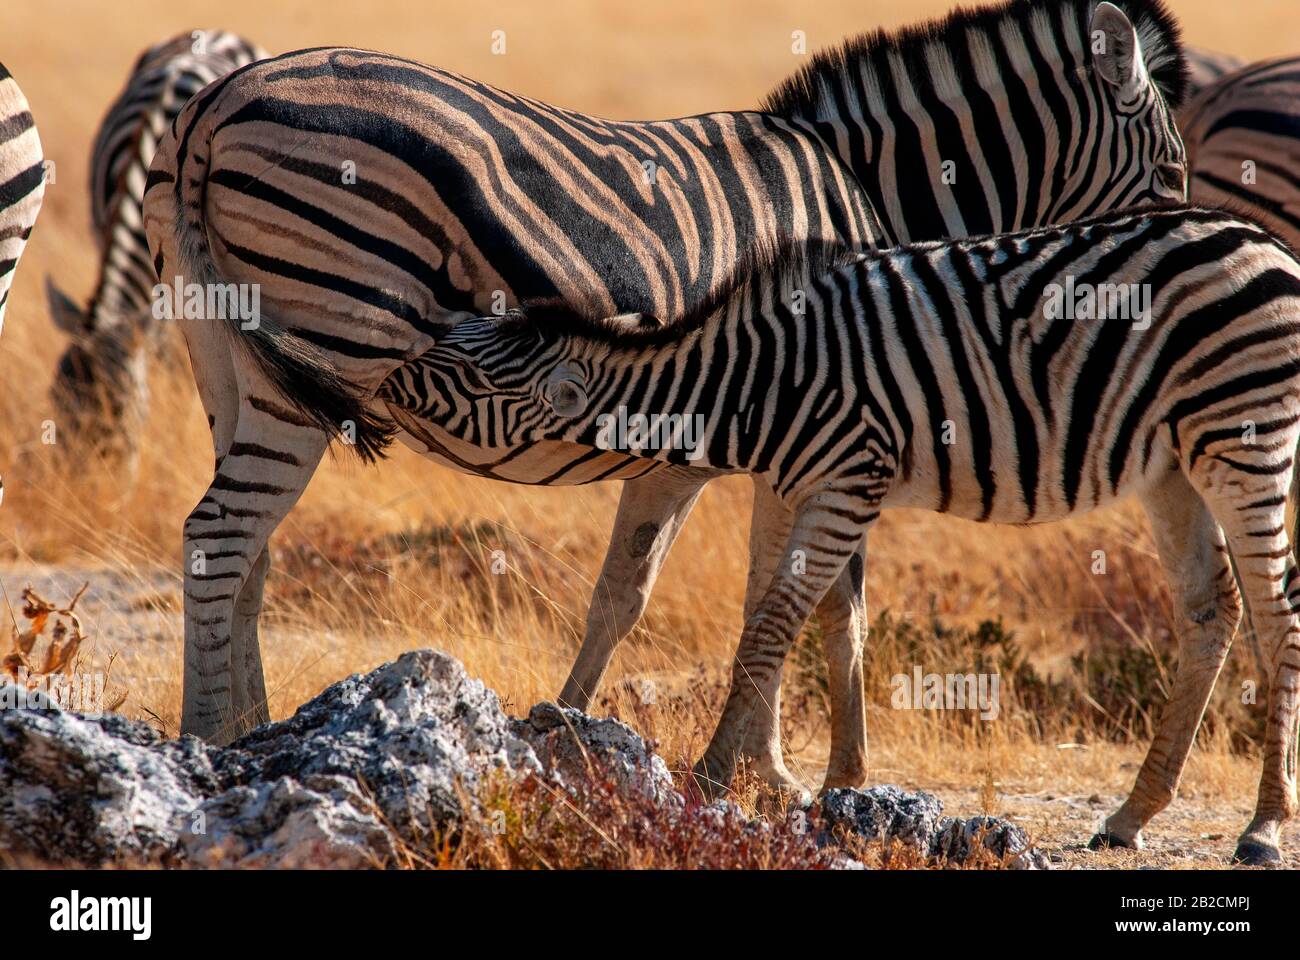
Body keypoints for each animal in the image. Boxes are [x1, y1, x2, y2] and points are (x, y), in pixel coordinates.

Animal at [141, 0, 1189, 784]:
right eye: (1176, 169)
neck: (867, 199)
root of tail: (218, 103)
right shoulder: (825, 420)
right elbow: (819, 603)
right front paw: (820, 778)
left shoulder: (760, 441)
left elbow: (678, 595)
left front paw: (622, 738)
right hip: (331, 335)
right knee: (221, 535)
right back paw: (207, 740)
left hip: (233, 359)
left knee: (244, 549)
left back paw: (256, 733)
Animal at [407, 205, 1300, 866]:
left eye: (460, 375)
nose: (384, 373)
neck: (755, 384)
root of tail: (1261, 238)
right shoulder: (814, 487)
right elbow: (824, 624)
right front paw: (833, 786)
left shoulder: (846, 483)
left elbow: (772, 627)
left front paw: (711, 778)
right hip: (1170, 465)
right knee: (1210, 611)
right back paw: (1131, 815)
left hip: (1241, 440)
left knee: (1276, 614)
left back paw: (1261, 828)